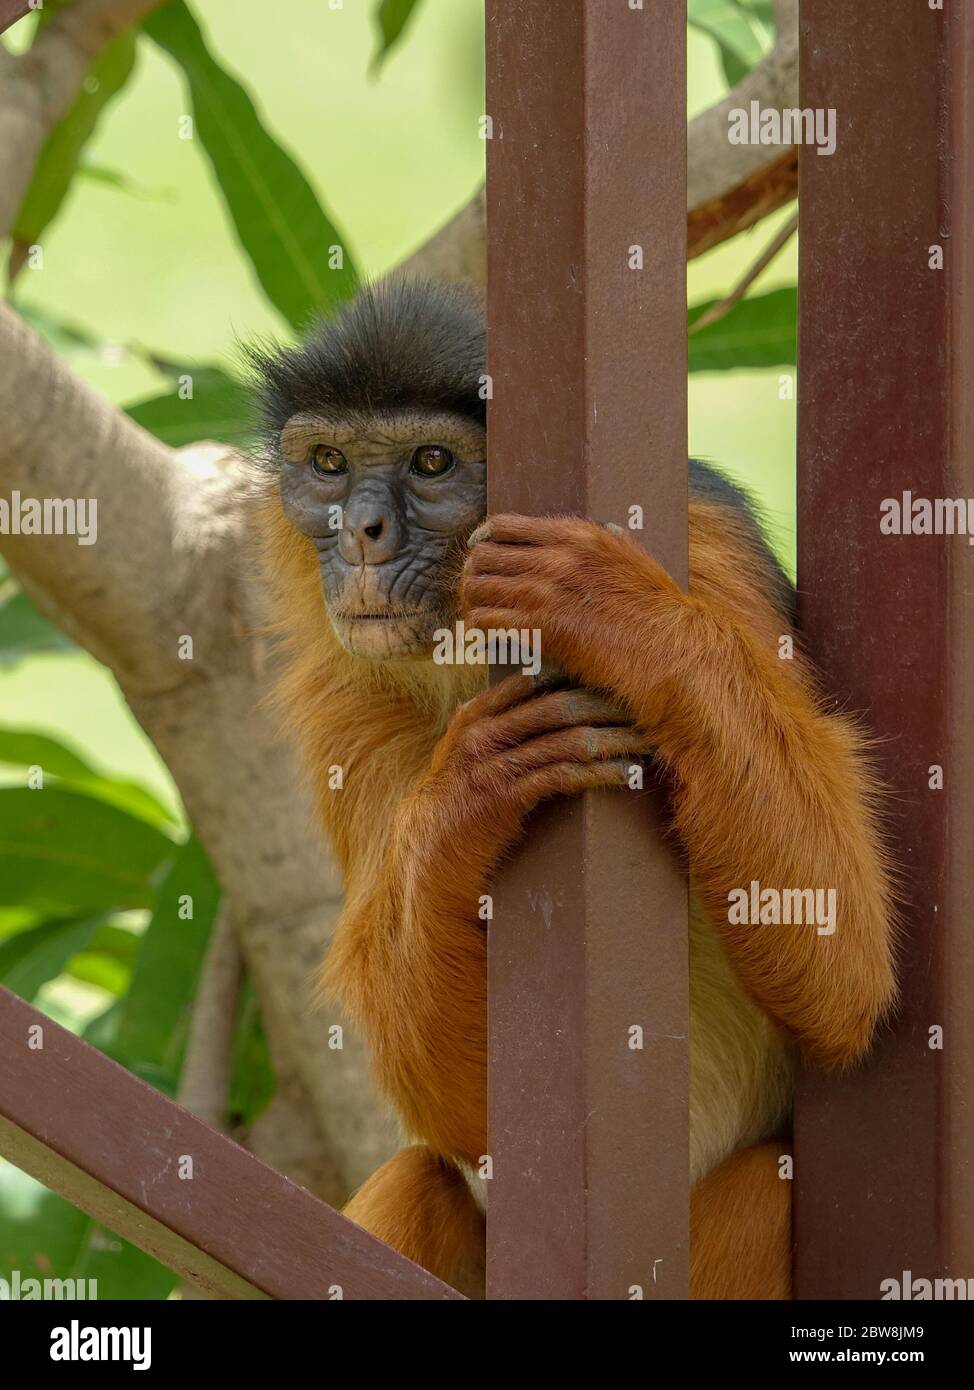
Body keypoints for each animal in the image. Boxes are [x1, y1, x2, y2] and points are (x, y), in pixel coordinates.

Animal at [248, 279, 896, 1301]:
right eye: (328, 464)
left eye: (432, 463)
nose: (360, 535)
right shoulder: (345, 688)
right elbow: (463, 1121)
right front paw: (466, 792)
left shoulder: (708, 543)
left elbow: (849, 980)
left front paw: (616, 614)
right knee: (419, 1175)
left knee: (767, 1189)